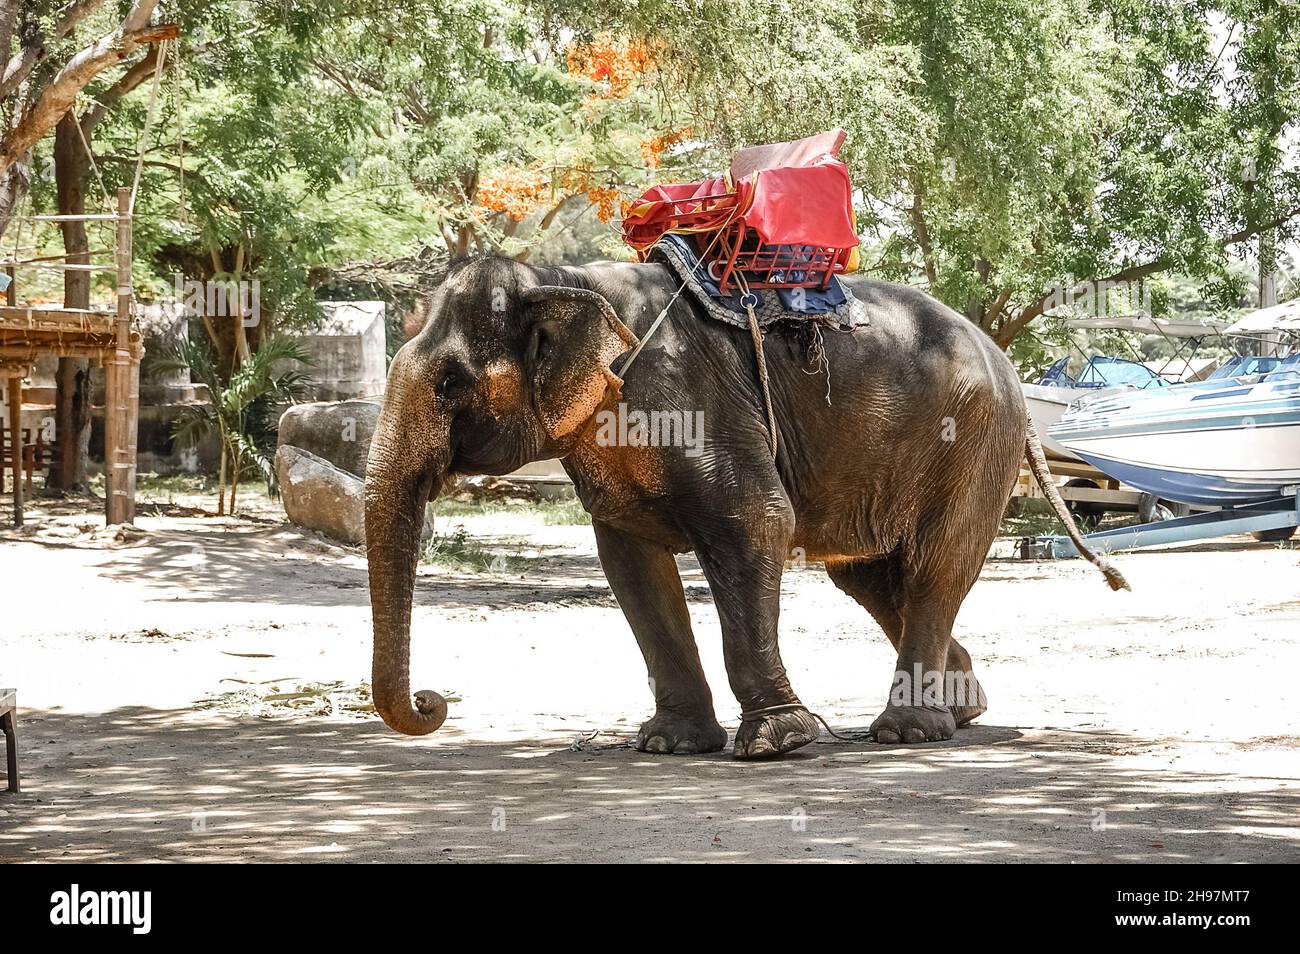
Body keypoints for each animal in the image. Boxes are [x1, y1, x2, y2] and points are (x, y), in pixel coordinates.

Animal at [364, 255, 1126, 759]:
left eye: (450, 383)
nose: (434, 701)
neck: (563, 277)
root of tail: (1009, 365)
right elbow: (629, 563)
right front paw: (670, 746)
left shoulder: (697, 404)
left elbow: (756, 522)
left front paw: (776, 745)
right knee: (869, 576)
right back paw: (960, 711)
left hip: (974, 439)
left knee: (935, 568)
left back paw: (909, 733)